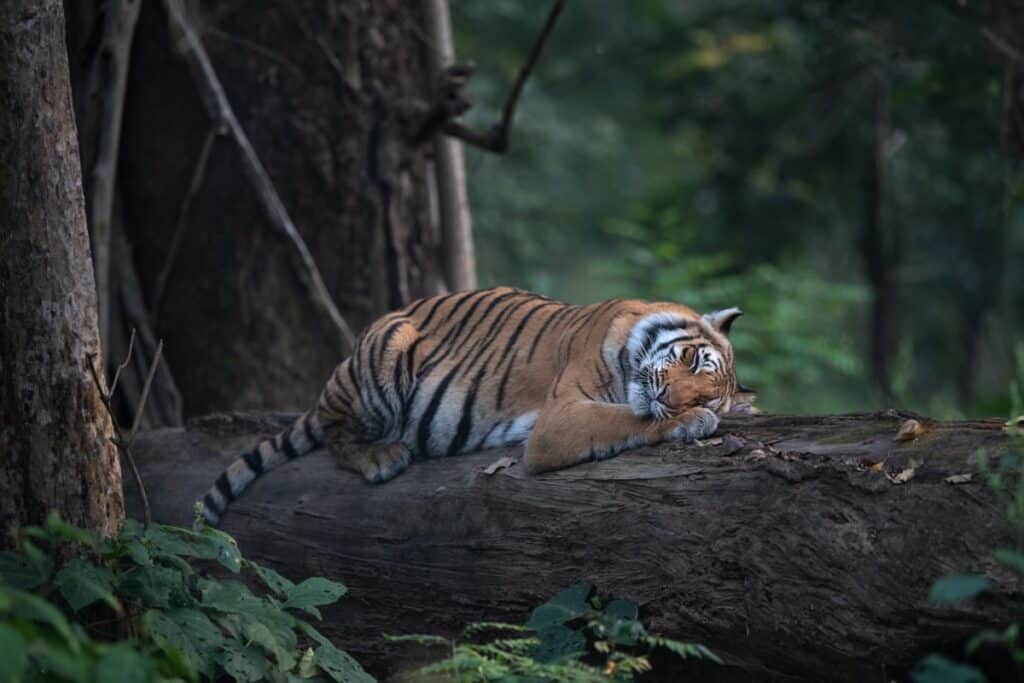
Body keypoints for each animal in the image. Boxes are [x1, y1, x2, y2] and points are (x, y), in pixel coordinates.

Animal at [199, 287, 750, 524]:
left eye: (706, 389)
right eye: (690, 359)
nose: (670, 397)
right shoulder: (561, 417)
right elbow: (626, 417)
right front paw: (689, 422)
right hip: (386, 349)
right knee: (336, 432)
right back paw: (382, 457)